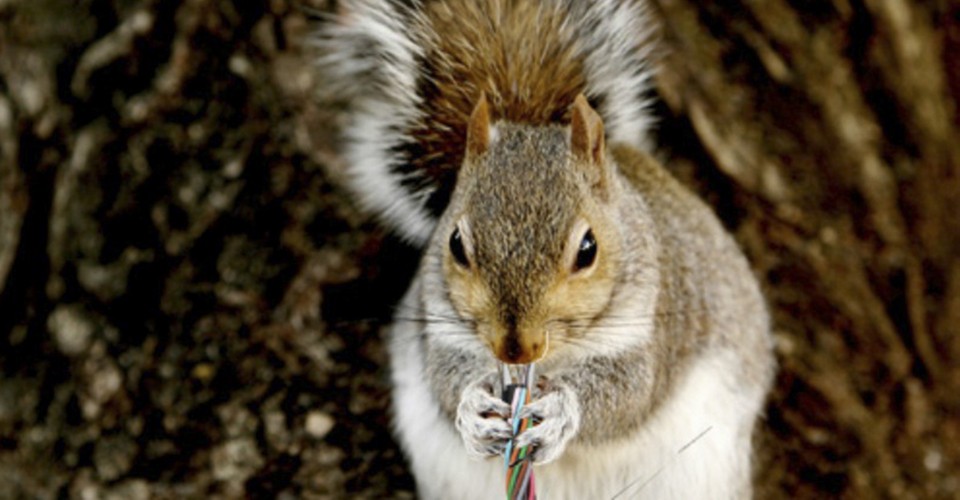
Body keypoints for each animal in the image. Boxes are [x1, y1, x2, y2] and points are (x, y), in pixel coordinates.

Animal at [317, 0, 776, 498]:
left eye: (588, 249)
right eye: (455, 243)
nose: (517, 349)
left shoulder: (657, 326)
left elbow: (625, 394)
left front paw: (561, 411)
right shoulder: (439, 323)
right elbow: (445, 379)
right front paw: (472, 408)